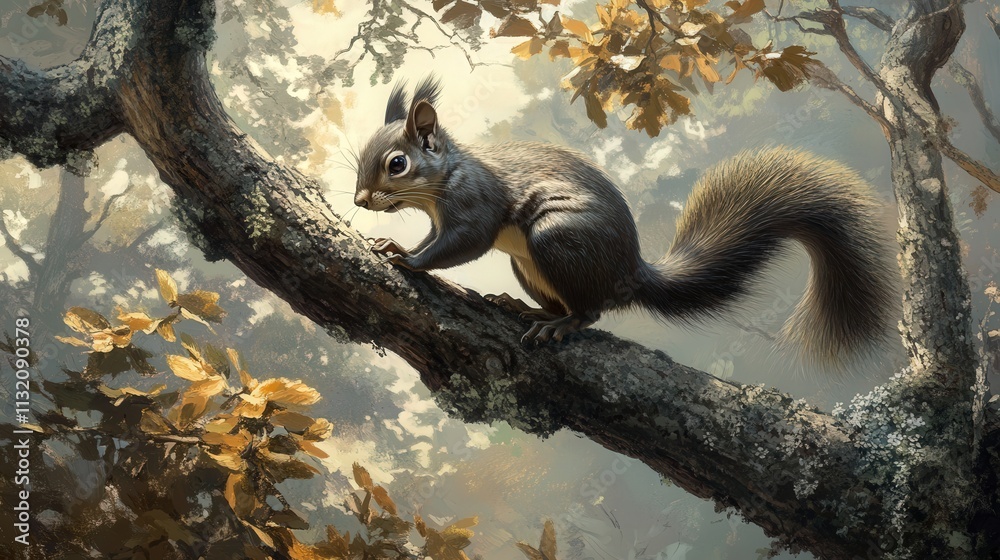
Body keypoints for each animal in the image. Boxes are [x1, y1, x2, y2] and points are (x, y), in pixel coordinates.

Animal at [353, 77, 896, 363]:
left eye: (397, 164)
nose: (359, 199)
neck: (445, 179)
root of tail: (630, 272)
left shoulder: (476, 202)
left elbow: (460, 244)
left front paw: (406, 257)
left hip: (555, 240)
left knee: (590, 312)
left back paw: (560, 324)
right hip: (526, 264)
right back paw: (527, 309)